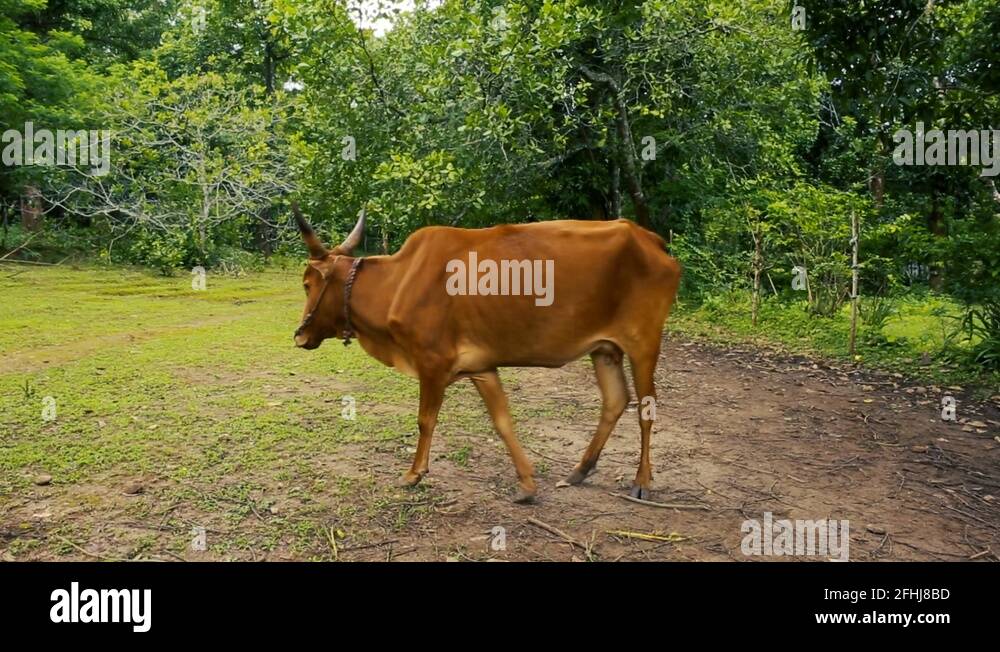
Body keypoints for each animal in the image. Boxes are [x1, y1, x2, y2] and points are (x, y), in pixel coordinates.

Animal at [292, 203, 681, 504]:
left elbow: (425, 420)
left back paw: (641, 482)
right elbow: (503, 422)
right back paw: (579, 471)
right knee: (615, 401)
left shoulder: (432, 364)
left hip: (643, 343)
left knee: (646, 408)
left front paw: (414, 473)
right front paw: (527, 484)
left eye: (308, 284)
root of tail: (650, 240)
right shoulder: (482, 367)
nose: (299, 335)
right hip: (605, 349)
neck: (398, 282)